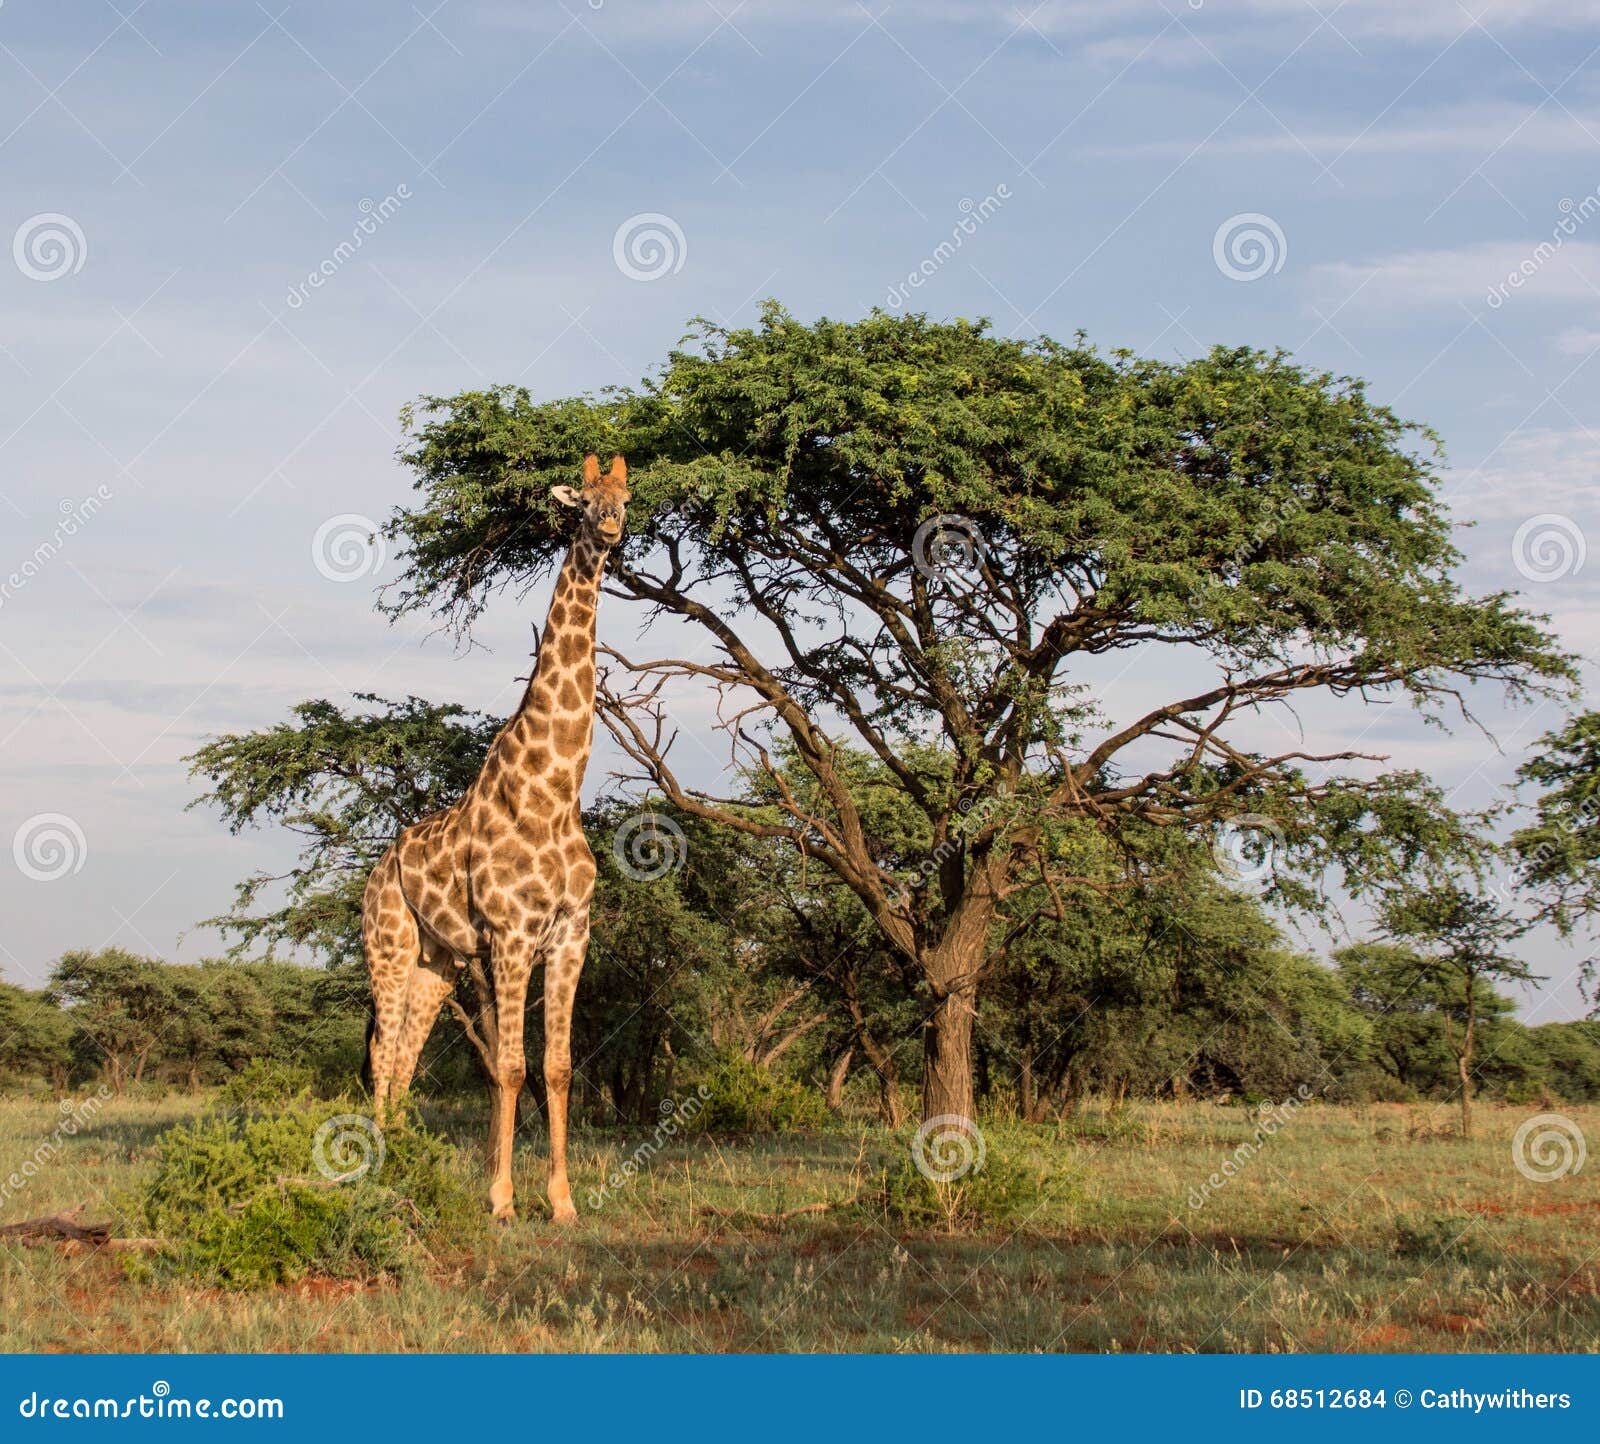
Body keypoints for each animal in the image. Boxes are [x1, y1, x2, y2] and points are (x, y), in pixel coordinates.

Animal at [362, 452, 629, 1222]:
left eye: (628, 496)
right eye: (582, 500)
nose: (609, 528)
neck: (557, 787)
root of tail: (376, 869)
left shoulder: (571, 933)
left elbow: (558, 1068)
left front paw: (562, 1203)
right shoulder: (511, 934)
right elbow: (510, 1068)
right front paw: (503, 1200)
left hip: (437, 962)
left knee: (403, 1061)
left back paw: (404, 1169)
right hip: (388, 948)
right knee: (384, 1057)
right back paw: (377, 1176)